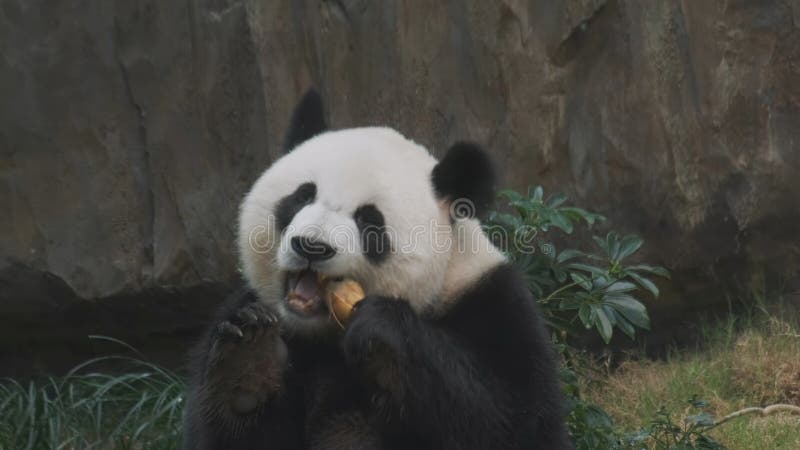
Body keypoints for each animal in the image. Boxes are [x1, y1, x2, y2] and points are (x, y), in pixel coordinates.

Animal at [181, 90, 570, 450]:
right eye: (303, 196)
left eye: (369, 220)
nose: (312, 246)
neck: (324, 338)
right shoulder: (246, 318)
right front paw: (249, 362)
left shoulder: (492, 301)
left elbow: (518, 421)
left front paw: (382, 333)